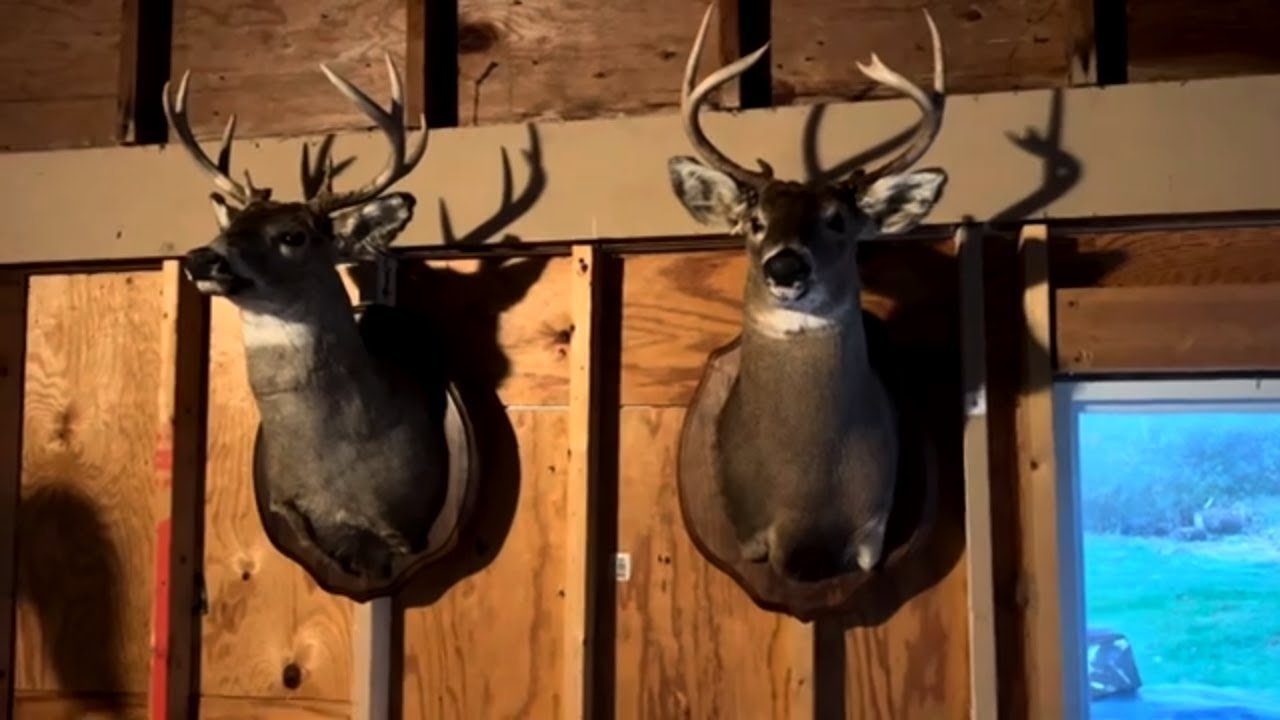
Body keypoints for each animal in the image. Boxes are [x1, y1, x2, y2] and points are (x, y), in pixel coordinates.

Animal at [667, 4, 948, 583]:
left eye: (837, 219)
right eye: (755, 221)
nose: (786, 264)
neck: (805, 499)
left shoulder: (872, 527)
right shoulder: (750, 530)